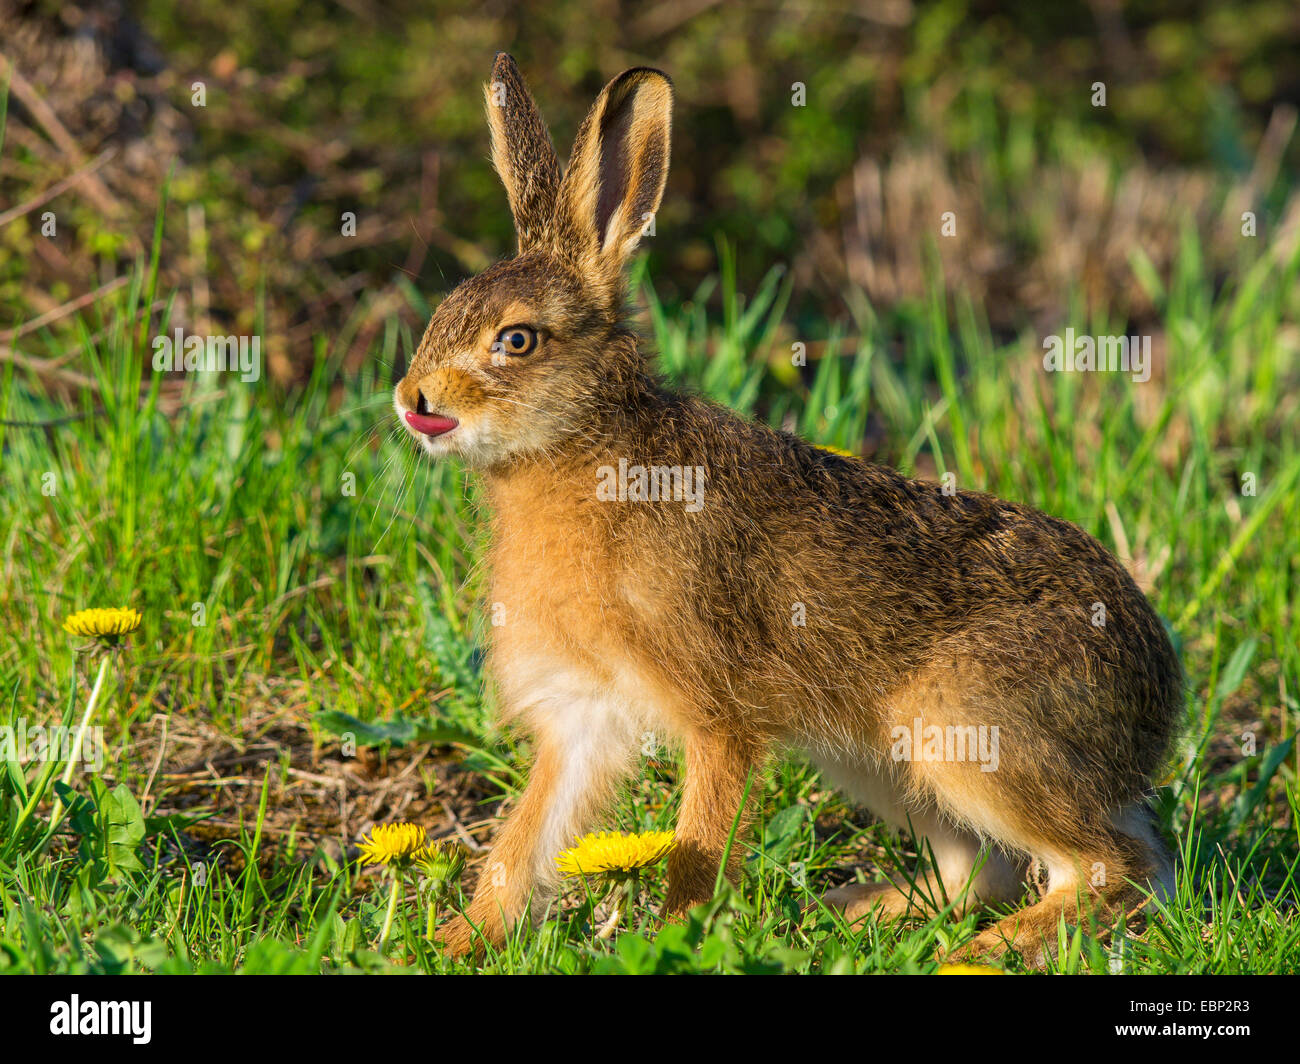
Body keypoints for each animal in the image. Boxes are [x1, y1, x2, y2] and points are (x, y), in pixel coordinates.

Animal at [393, 53, 1181, 964]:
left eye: (516, 341)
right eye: (445, 309)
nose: (412, 399)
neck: (581, 446)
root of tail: (1157, 707)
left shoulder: (717, 712)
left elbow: (697, 841)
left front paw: (675, 941)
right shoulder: (583, 713)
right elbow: (525, 840)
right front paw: (457, 941)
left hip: (963, 728)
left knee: (1113, 865)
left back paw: (975, 953)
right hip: (881, 755)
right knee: (981, 868)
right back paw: (854, 917)